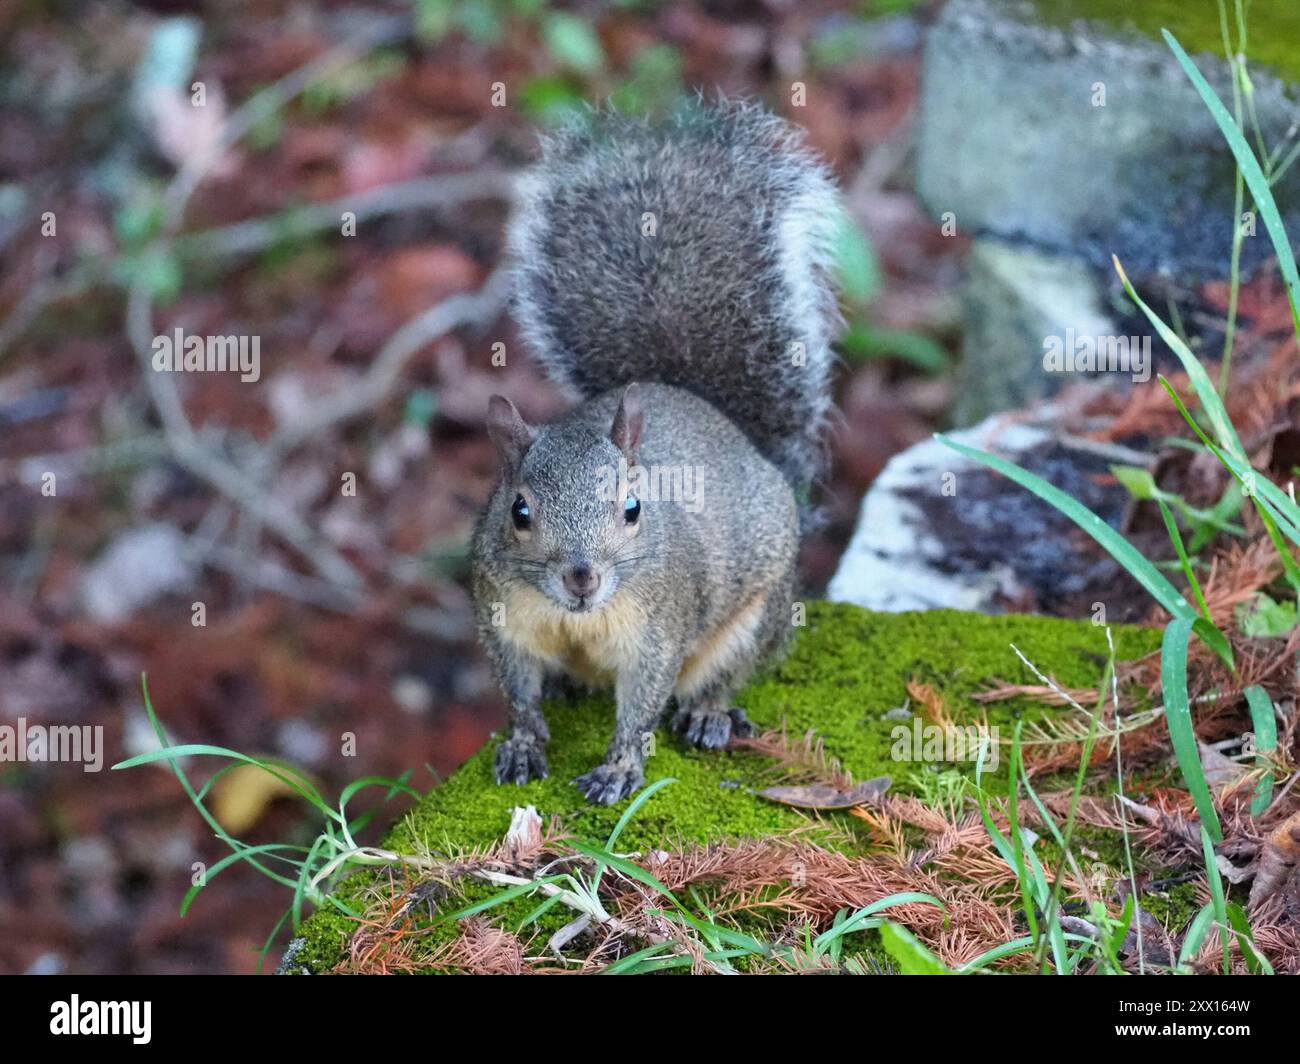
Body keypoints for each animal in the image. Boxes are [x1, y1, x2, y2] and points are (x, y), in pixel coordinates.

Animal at [472, 100, 842, 805]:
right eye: (519, 512)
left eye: (633, 509)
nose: (582, 578)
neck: (579, 619)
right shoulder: (503, 622)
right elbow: (517, 693)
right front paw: (525, 744)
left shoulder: (658, 632)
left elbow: (640, 707)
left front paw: (619, 769)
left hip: (757, 615)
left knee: (726, 672)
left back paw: (708, 714)